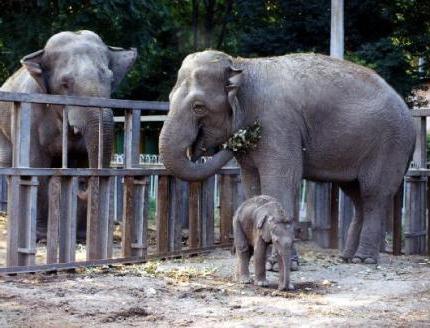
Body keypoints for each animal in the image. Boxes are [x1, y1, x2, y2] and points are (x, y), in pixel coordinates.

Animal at [0, 30, 136, 238]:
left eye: (111, 79)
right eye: (65, 83)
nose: (82, 184)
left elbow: (84, 160)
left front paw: (81, 236)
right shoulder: (31, 114)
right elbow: (36, 165)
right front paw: (40, 236)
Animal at [159, 50, 416, 264]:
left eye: (198, 107)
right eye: (169, 98)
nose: (238, 138)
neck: (242, 64)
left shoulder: (278, 124)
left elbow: (281, 181)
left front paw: (278, 264)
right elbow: (252, 184)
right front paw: (261, 259)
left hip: (389, 145)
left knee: (373, 194)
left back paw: (364, 260)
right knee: (357, 195)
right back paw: (347, 257)